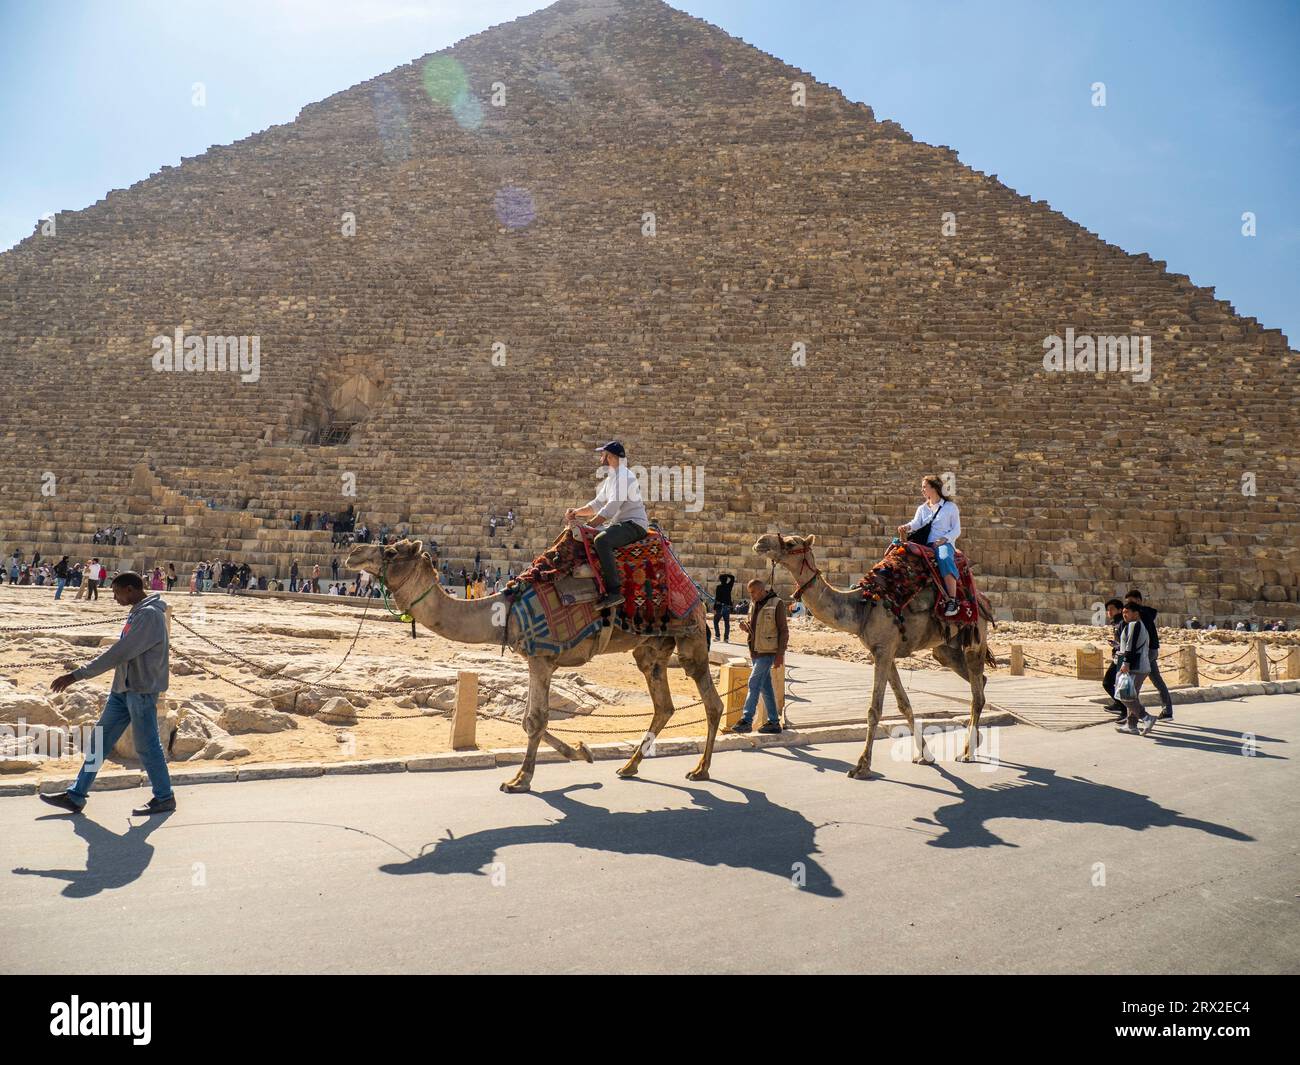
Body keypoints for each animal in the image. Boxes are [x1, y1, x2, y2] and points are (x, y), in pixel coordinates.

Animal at [345, 540, 728, 790]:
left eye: (390, 551)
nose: (353, 552)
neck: (505, 612)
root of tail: (695, 591)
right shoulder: (535, 659)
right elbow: (528, 719)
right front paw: (582, 751)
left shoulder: (542, 657)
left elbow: (535, 720)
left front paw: (520, 779)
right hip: (651, 648)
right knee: (663, 704)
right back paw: (629, 766)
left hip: (691, 635)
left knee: (711, 701)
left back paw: (700, 769)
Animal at [754, 538, 993, 780]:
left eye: (791, 543)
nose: (760, 542)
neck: (862, 607)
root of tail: (983, 599)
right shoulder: (883, 652)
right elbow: (904, 704)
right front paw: (925, 755)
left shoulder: (884, 650)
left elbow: (874, 710)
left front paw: (862, 766)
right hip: (946, 649)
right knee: (979, 680)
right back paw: (974, 742)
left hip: (976, 636)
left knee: (977, 691)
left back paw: (967, 752)